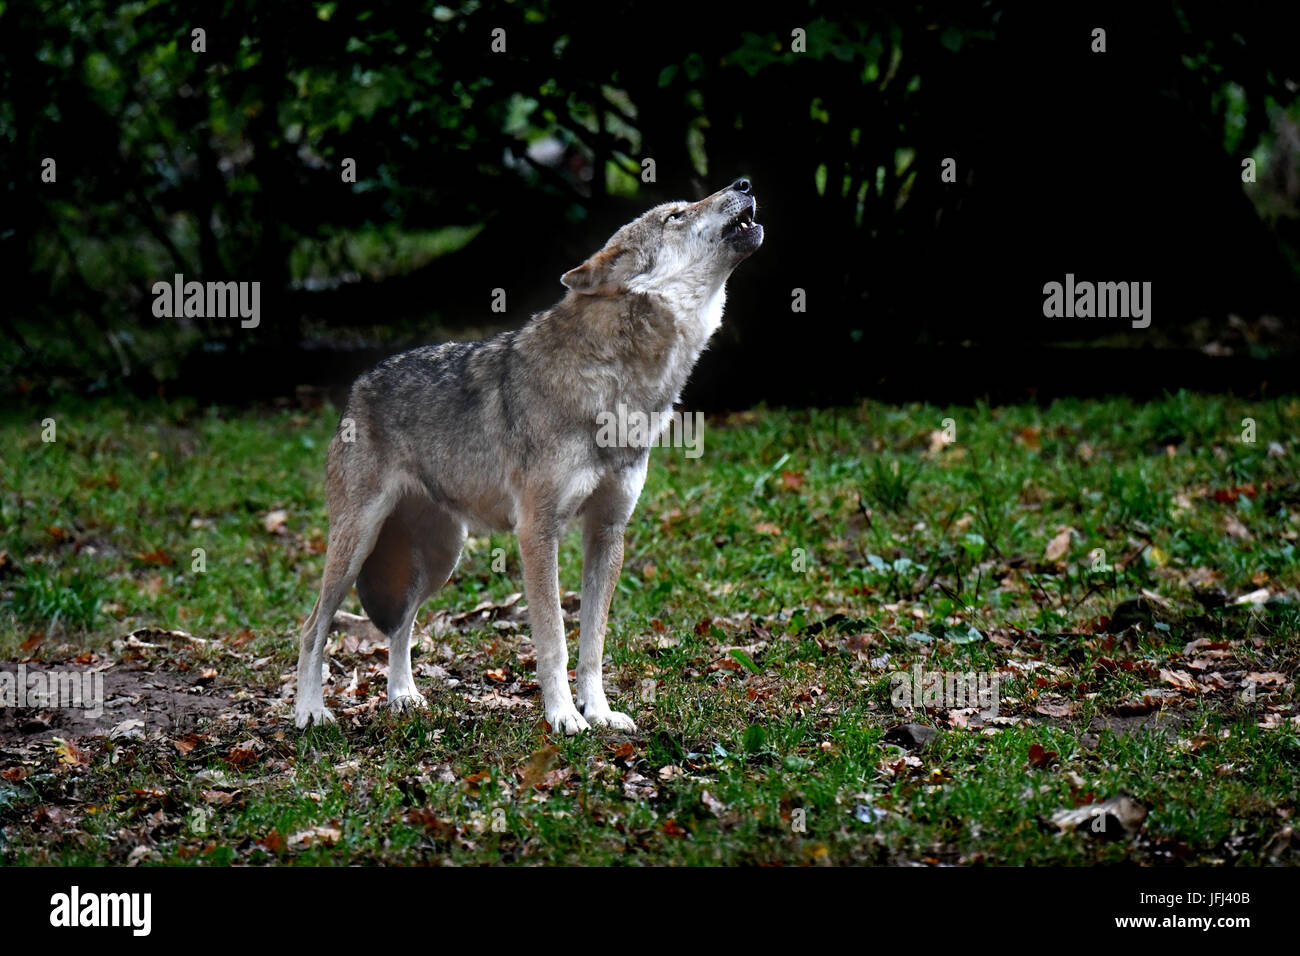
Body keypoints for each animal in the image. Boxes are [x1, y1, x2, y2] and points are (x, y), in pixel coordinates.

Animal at [295, 179, 763, 734]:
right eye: (675, 215)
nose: (744, 183)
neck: (619, 385)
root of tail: (358, 386)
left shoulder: (608, 531)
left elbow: (593, 643)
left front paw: (598, 712)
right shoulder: (538, 531)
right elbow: (554, 638)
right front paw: (563, 716)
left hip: (440, 558)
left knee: (400, 626)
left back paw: (402, 696)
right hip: (357, 544)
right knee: (312, 626)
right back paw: (309, 711)